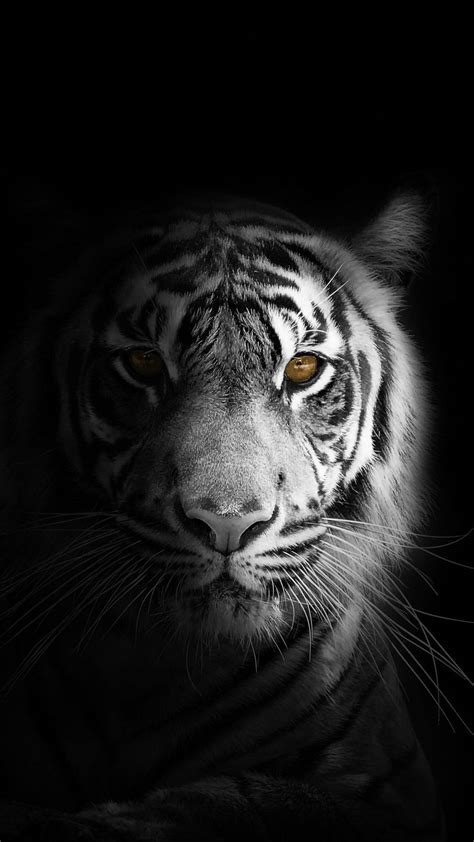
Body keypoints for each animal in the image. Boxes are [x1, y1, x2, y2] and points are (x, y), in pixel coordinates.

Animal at [0, 191, 444, 841]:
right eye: (143, 363)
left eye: (302, 370)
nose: (228, 524)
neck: (156, 669)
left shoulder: (391, 792)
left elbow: (234, 800)